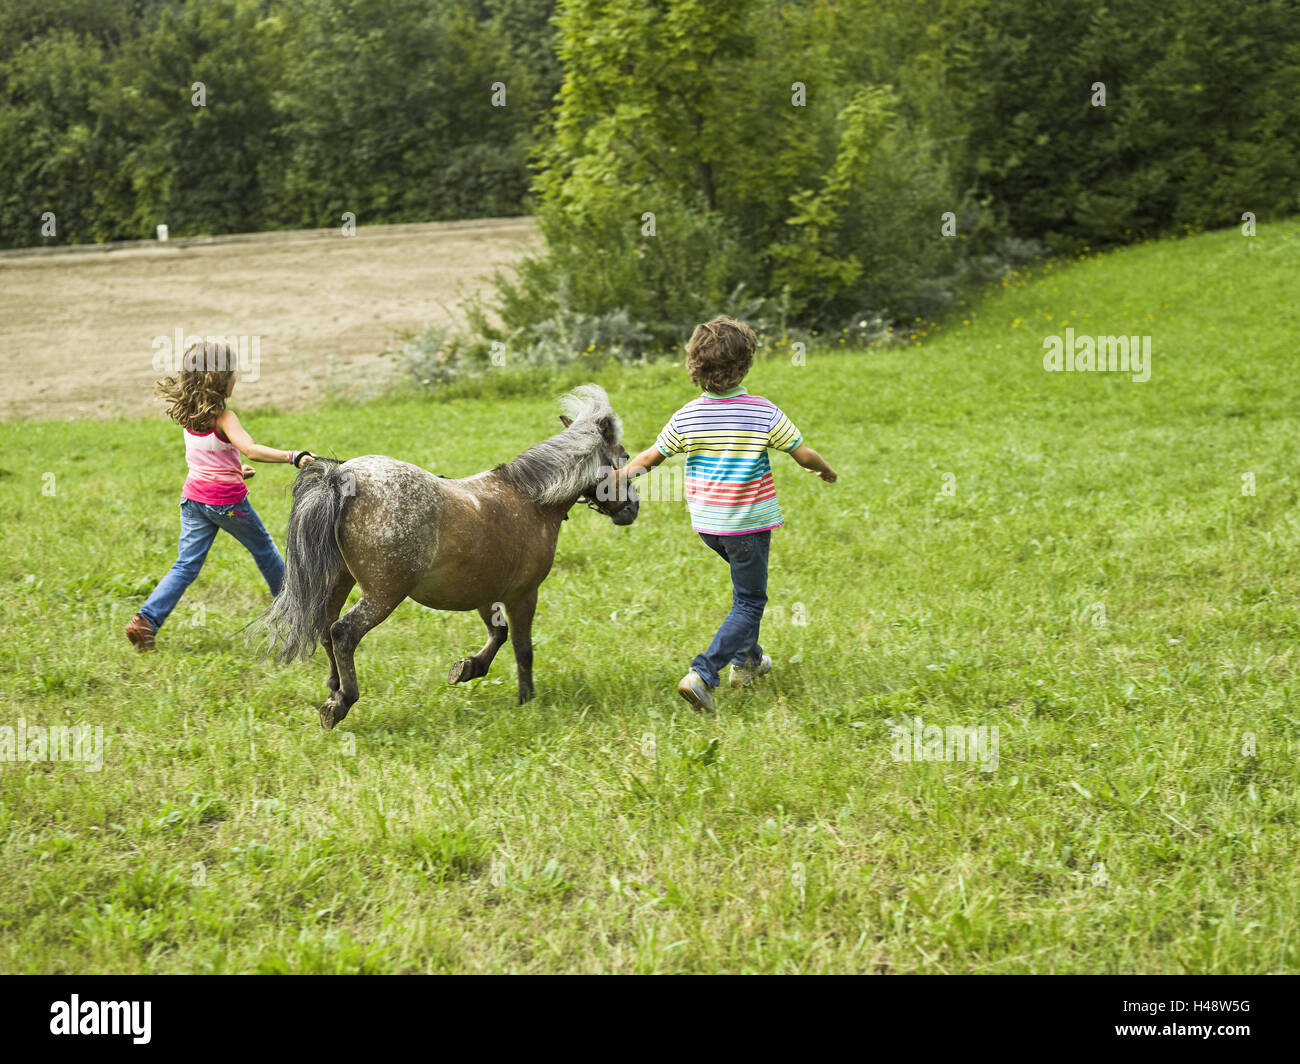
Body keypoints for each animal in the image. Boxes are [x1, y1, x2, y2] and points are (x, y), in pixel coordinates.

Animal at [259, 385, 639, 728]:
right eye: (624, 457)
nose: (631, 509)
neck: (531, 499)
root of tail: (342, 477)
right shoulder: (523, 594)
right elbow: (522, 647)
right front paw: (526, 700)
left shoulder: (486, 592)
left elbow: (498, 635)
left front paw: (468, 668)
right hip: (383, 594)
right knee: (342, 632)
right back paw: (341, 702)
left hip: (341, 580)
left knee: (325, 626)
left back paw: (334, 688)